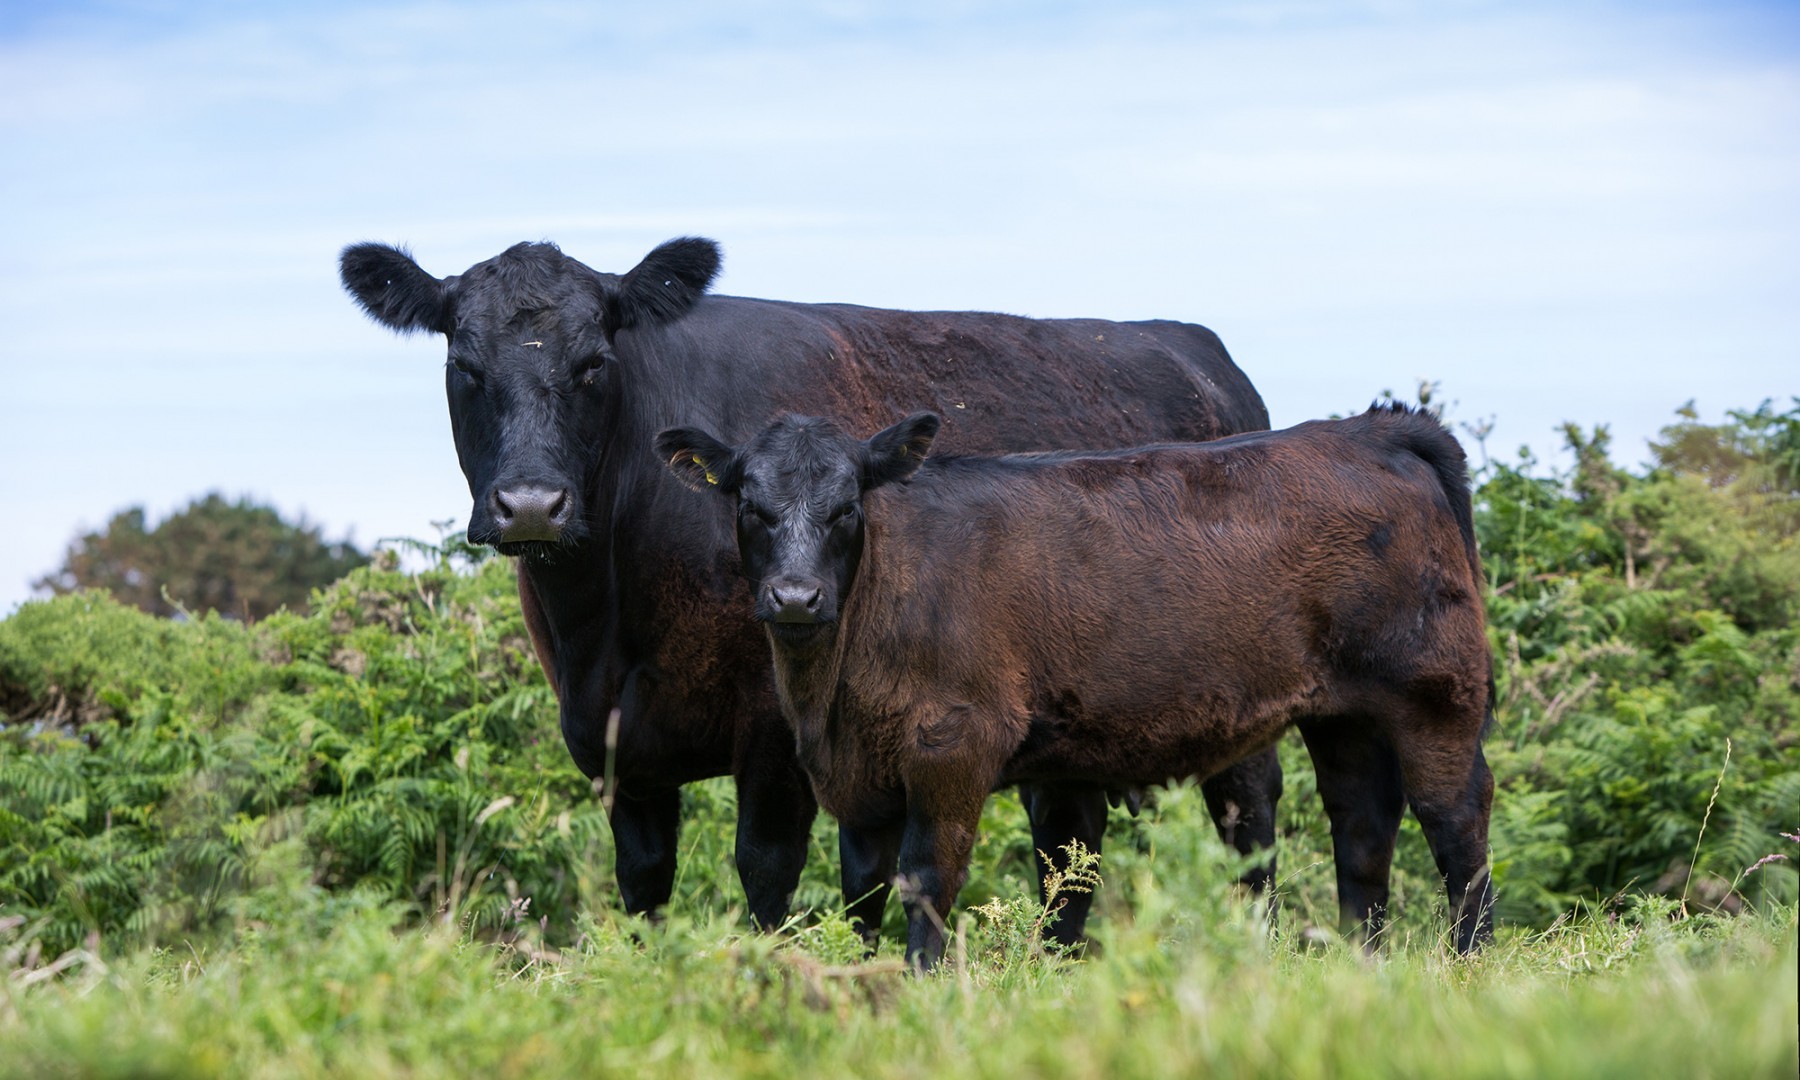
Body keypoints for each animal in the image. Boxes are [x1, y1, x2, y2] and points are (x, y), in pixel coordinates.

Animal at [337, 236, 1283, 947]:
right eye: (465, 365)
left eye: (596, 363)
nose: (532, 503)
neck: (605, 621)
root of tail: (1197, 349)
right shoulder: (615, 746)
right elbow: (643, 881)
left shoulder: (775, 729)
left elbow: (771, 870)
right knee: (1069, 839)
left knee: (1250, 813)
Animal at [657, 403, 1496, 970]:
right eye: (750, 506)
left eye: (844, 509)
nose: (796, 597)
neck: (832, 697)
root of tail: (1370, 430)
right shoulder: (859, 779)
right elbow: (862, 890)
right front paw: (861, 974)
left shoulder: (954, 745)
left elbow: (926, 878)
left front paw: (920, 981)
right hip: (1344, 710)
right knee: (1362, 822)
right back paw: (1361, 959)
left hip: (1435, 689)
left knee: (1454, 815)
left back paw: (1470, 960)